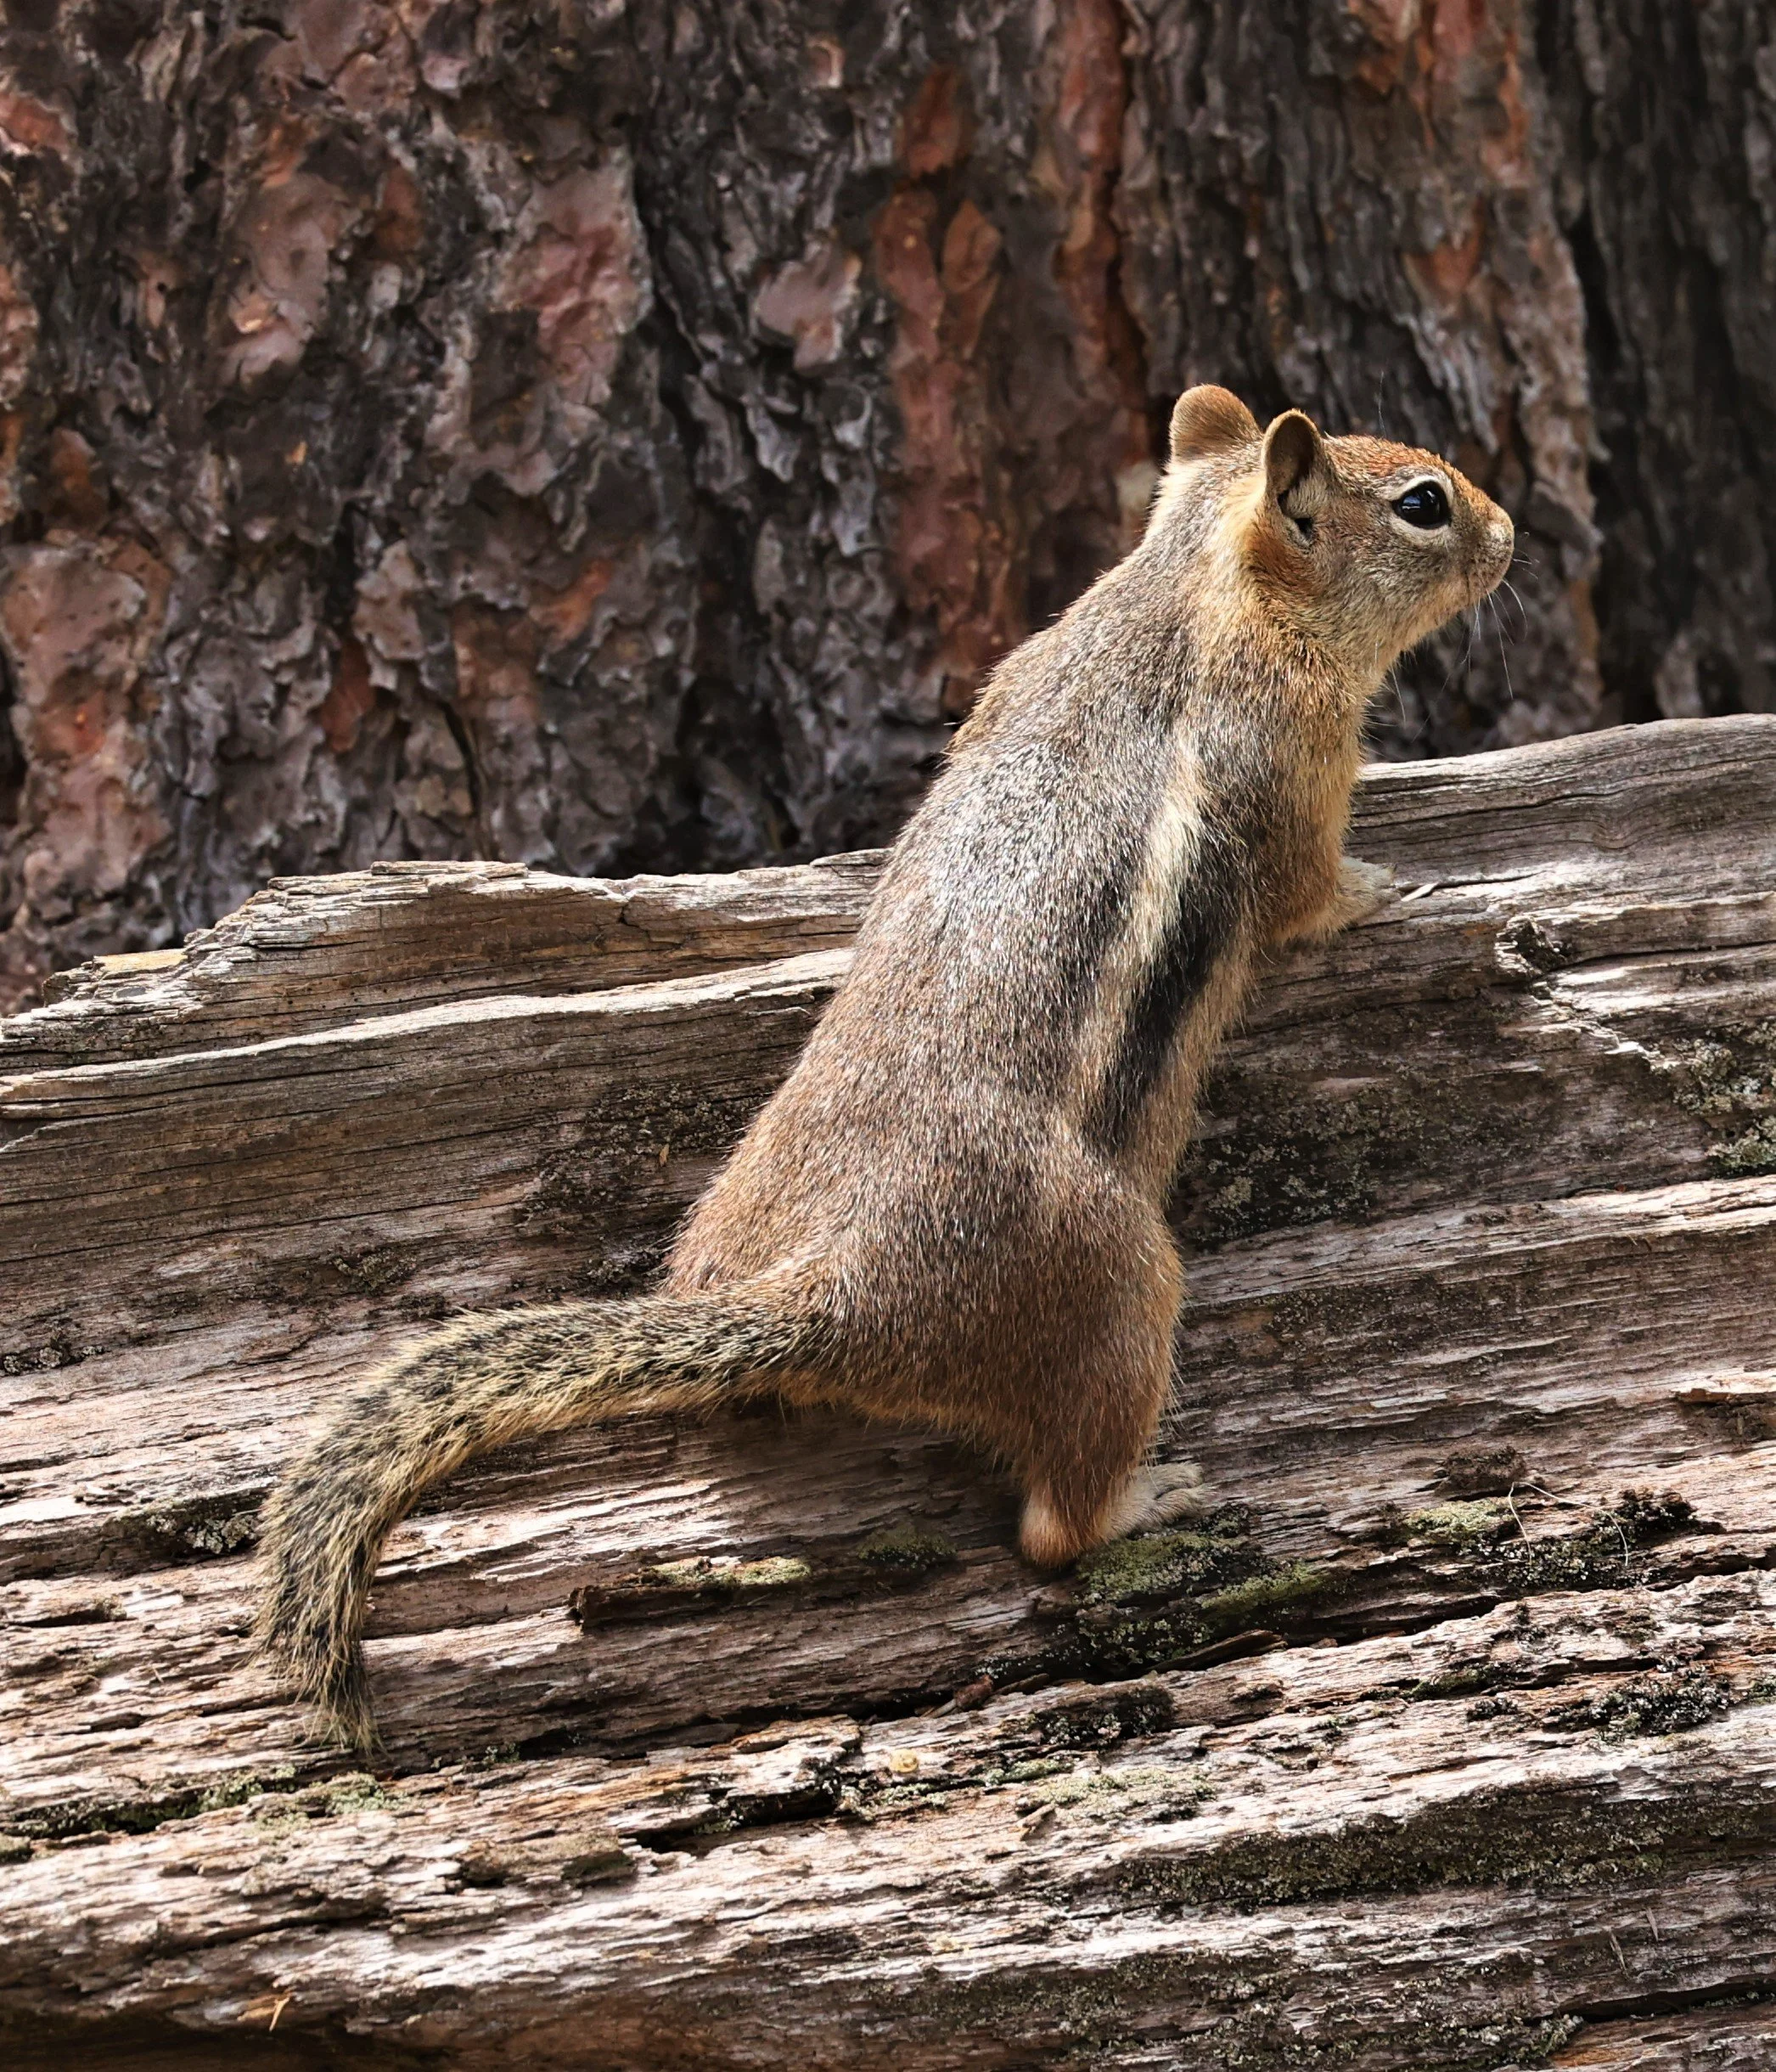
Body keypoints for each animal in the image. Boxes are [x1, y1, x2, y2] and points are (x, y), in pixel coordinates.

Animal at [257, 388, 1513, 1749]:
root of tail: (837, 1297)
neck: (1184, 589)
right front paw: (1393, 886)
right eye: (1424, 504)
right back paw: (1151, 1497)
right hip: (1120, 1286)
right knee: (1052, 1532)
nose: (1510, 533)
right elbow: (1311, 894)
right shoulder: (1292, 765)